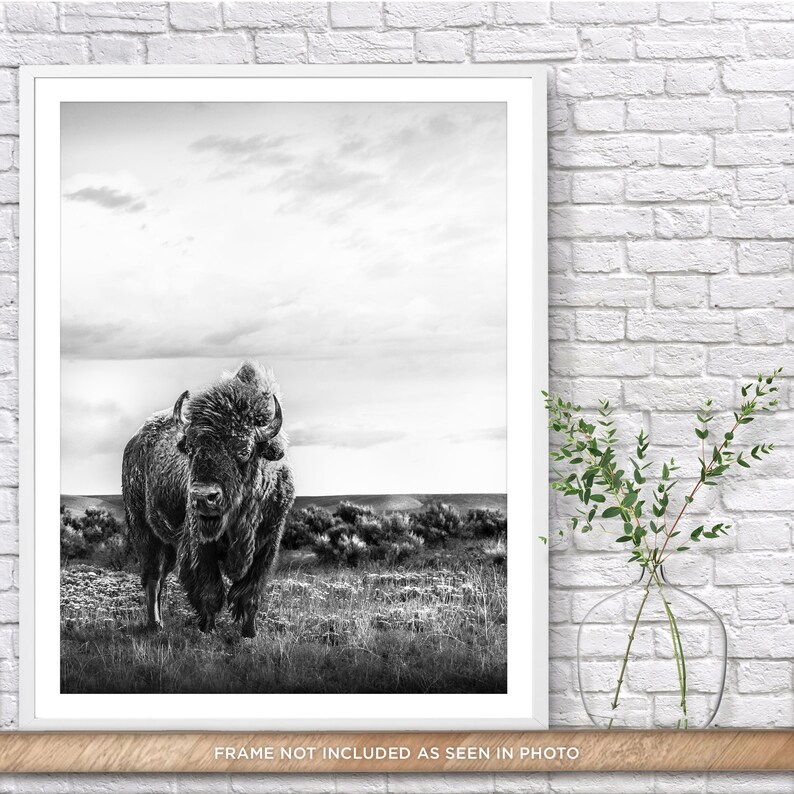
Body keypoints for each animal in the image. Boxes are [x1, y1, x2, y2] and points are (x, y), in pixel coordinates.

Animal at [121, 361, 295, 637]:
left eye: (244, 450)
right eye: (191, 449)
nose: (204, 497)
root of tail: (134, 442)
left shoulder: (267, 544)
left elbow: (250, 594)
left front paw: (249, 633)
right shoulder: (200, 546)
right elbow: (210, 590)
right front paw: (207, 631)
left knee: (160, 578)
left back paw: (160, 623)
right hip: (143, 530)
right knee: (152, 577)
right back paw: (155, 625)